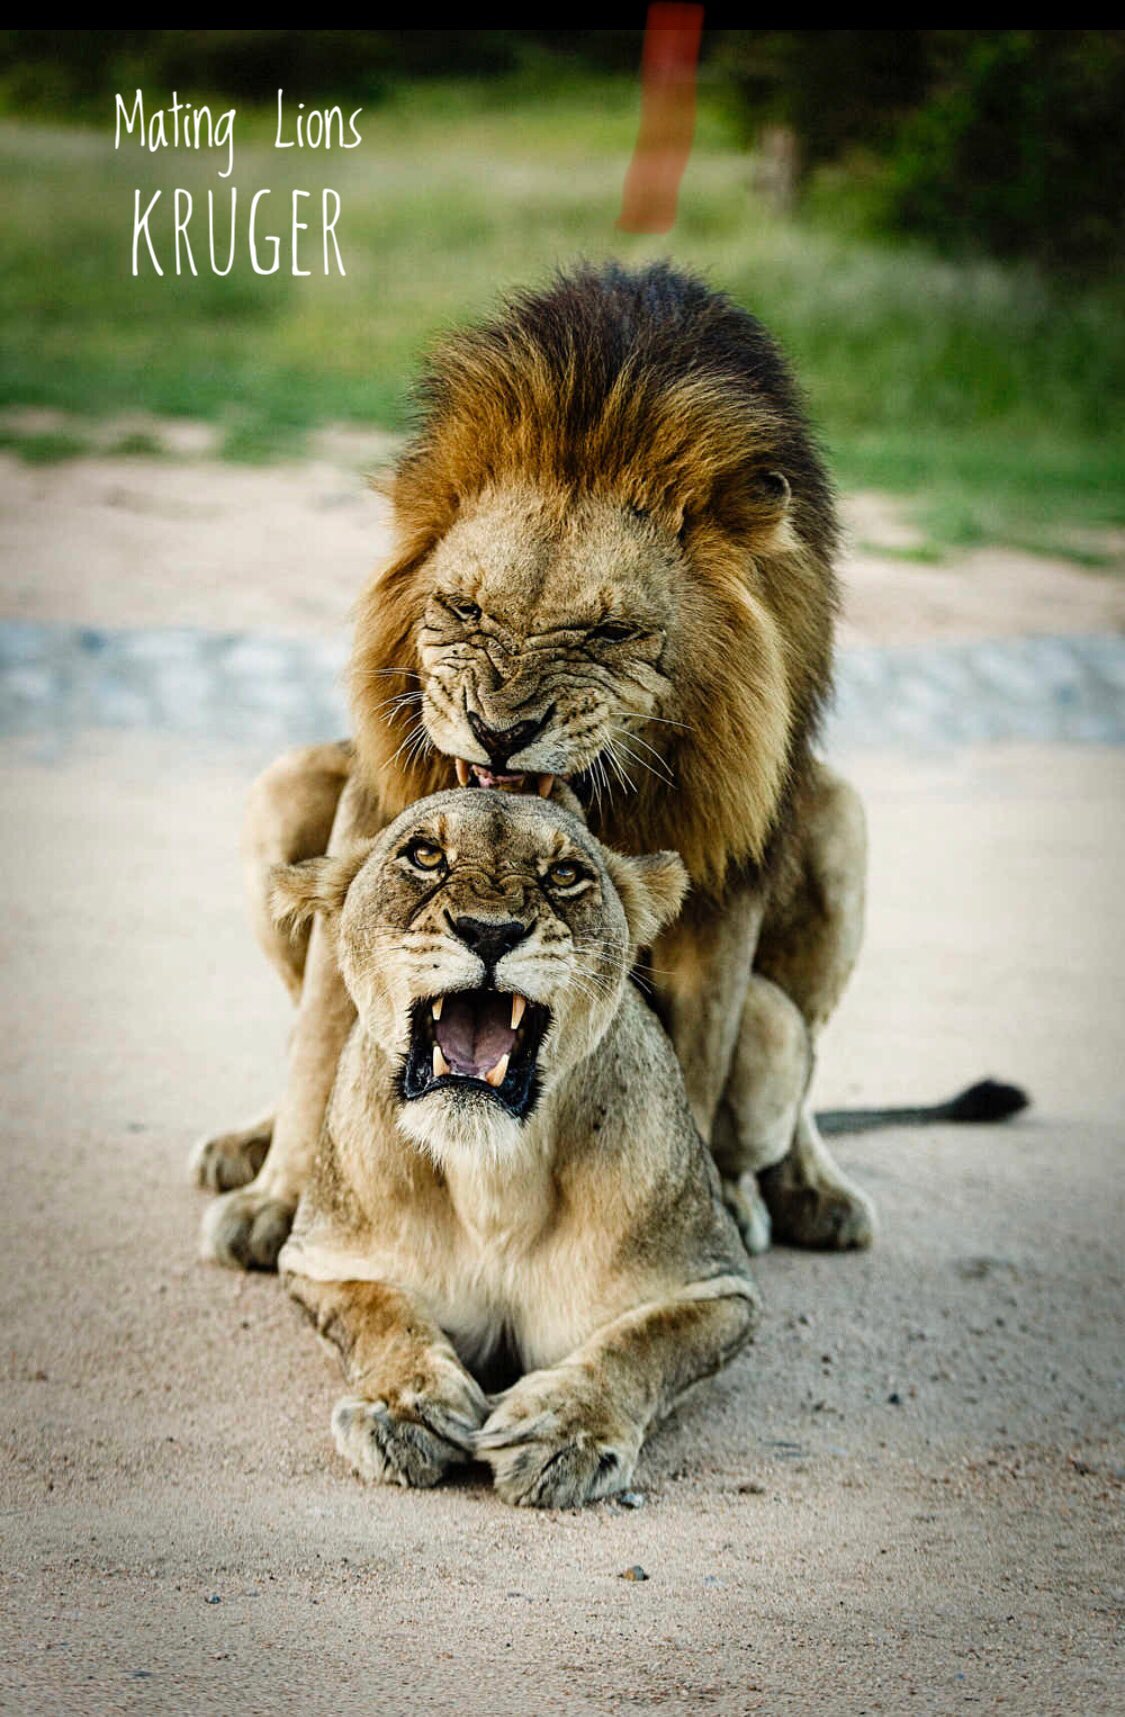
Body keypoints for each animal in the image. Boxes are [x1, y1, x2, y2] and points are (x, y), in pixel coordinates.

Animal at [197, 260, 876, 1268]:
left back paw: (793, 1192)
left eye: (608, 632)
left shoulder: (730, 864)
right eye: (464, 609)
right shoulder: (374, 811)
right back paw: (245, 1143)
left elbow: (699, 1057)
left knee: (798, 1076)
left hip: (837, 824)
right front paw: (278, 1197)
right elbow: (321, 1034)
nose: (496, 730)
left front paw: (691, 1213)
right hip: (281, 792)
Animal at [256, 788, 758, 1507]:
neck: (494, 1174)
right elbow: (383, 1316)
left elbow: (643, 1343)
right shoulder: (320, 1261)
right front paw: (406, 1408)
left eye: (566, 873)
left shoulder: (717, 1287)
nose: (489, 931)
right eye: (424, 855)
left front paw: (562, 1430)